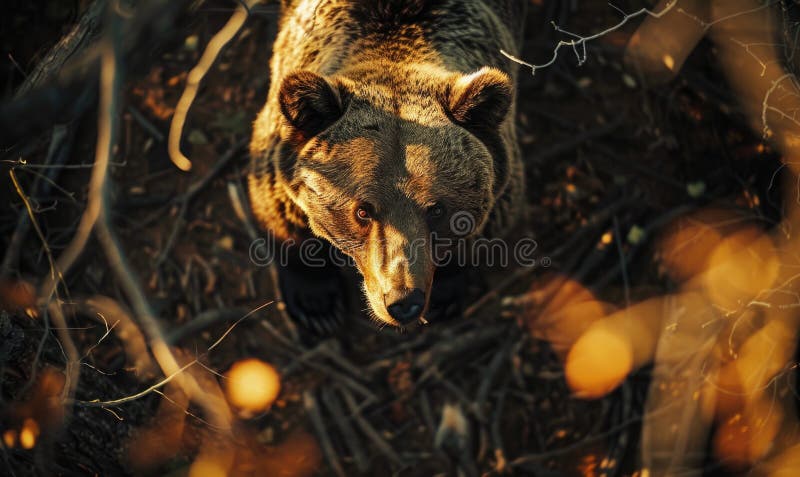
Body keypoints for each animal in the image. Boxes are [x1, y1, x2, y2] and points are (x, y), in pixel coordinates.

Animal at [248, 0, 527, 332]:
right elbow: (280, 212)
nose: (403, 301)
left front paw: (446, 293)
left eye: (436, 209)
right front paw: (316, 304)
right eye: (362, 211)